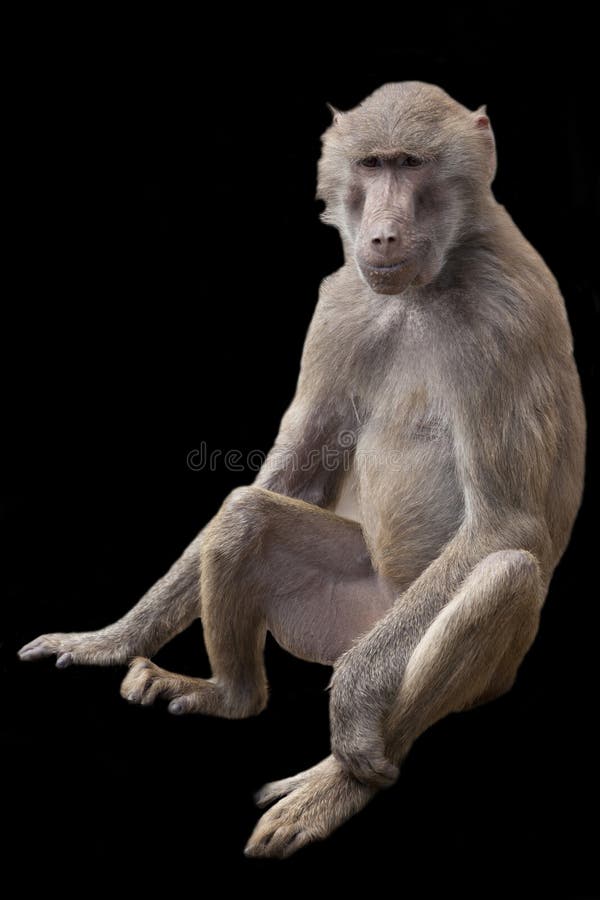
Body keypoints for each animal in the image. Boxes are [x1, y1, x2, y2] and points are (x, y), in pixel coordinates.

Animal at [19, 82, 585, 859]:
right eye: (373, 164)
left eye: (412, 165)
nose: (382, 236)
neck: (432, 280)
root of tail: (380, 609)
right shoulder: (339, 308)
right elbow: (283, 478)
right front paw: (109, 640)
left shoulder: (506, 319)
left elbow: (506, 524)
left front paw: (349, 711)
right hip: (340, 610)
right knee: (244, 514)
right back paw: (229, 697)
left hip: (457, 655)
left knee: (504, 573)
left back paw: (339, 781)